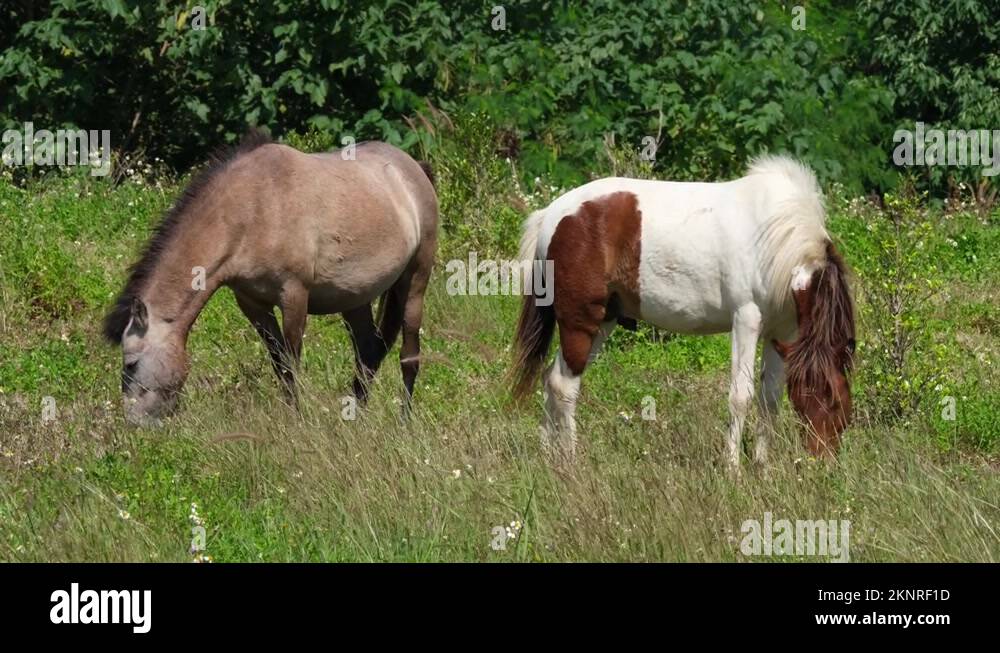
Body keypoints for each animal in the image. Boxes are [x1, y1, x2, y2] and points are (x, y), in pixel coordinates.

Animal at [103, 130, 438, 425]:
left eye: (131, 364)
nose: (135, 424)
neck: (253, 210)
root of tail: (414, 170)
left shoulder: (294, 295)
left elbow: (291, 363)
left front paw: (297, 422)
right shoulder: (252, 303)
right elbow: (279, 364)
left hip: (414, 284)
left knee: (409, 355)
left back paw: (404, 421)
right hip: (356, 298)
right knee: (368, 351)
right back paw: (354, 418)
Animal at [511, 155, 855, 472]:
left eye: (841, 400)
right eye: (824, 397)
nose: (824, 461)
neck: (777, 239)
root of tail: (551, 216)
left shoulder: (782, 333)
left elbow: (769, 400)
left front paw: (763, 470)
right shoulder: (746, 320)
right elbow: (740, 397)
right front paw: (733, 471)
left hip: (602, 322)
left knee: (552, 378)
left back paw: (548, 457)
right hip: (581, 321)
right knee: (565, 386)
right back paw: (572, 461)